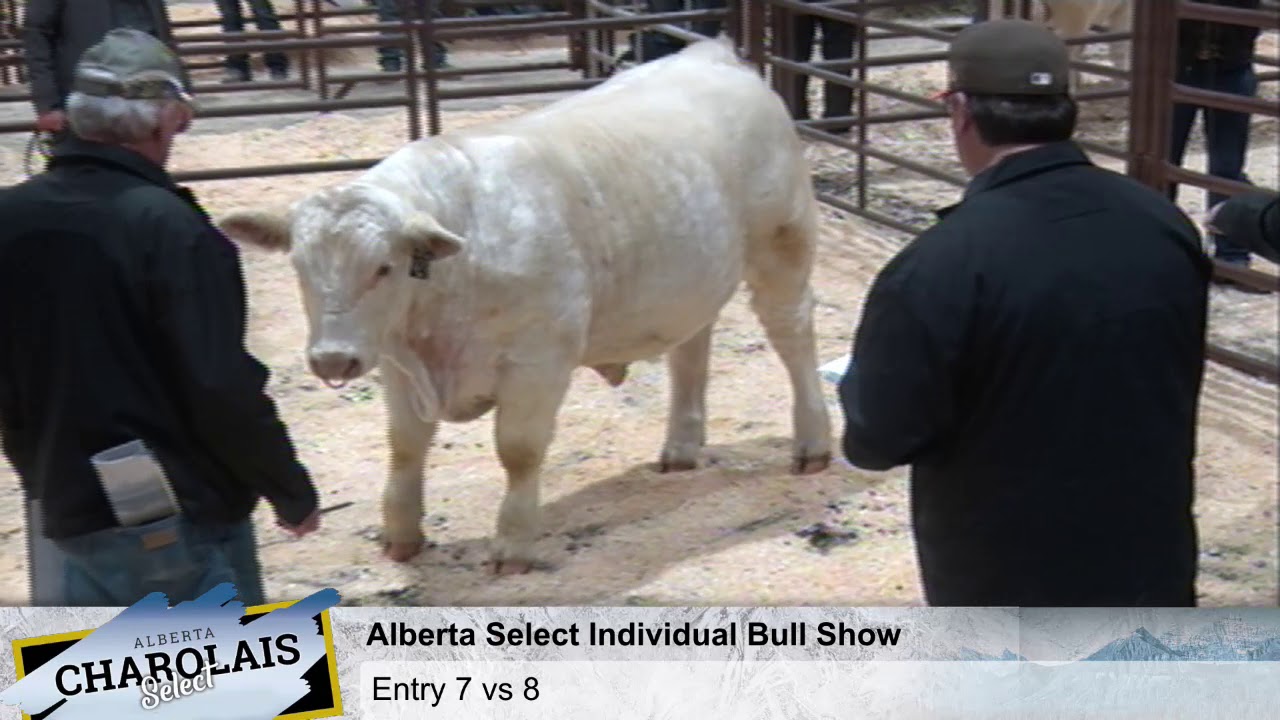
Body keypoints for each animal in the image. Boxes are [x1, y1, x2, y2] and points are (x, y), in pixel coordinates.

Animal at [216, 37, 833, 574]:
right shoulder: (396, 363)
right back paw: (681, 448)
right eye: (300, 266)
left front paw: (512, 545)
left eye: (384, 267)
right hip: (689, 278)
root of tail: (714, 54)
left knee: (794, 337)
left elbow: (518, 450)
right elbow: (405, 448)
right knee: (690, 350)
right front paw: (401, 536)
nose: (332, 359)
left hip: (782, 247)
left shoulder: (538, 360)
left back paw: (813, 445)